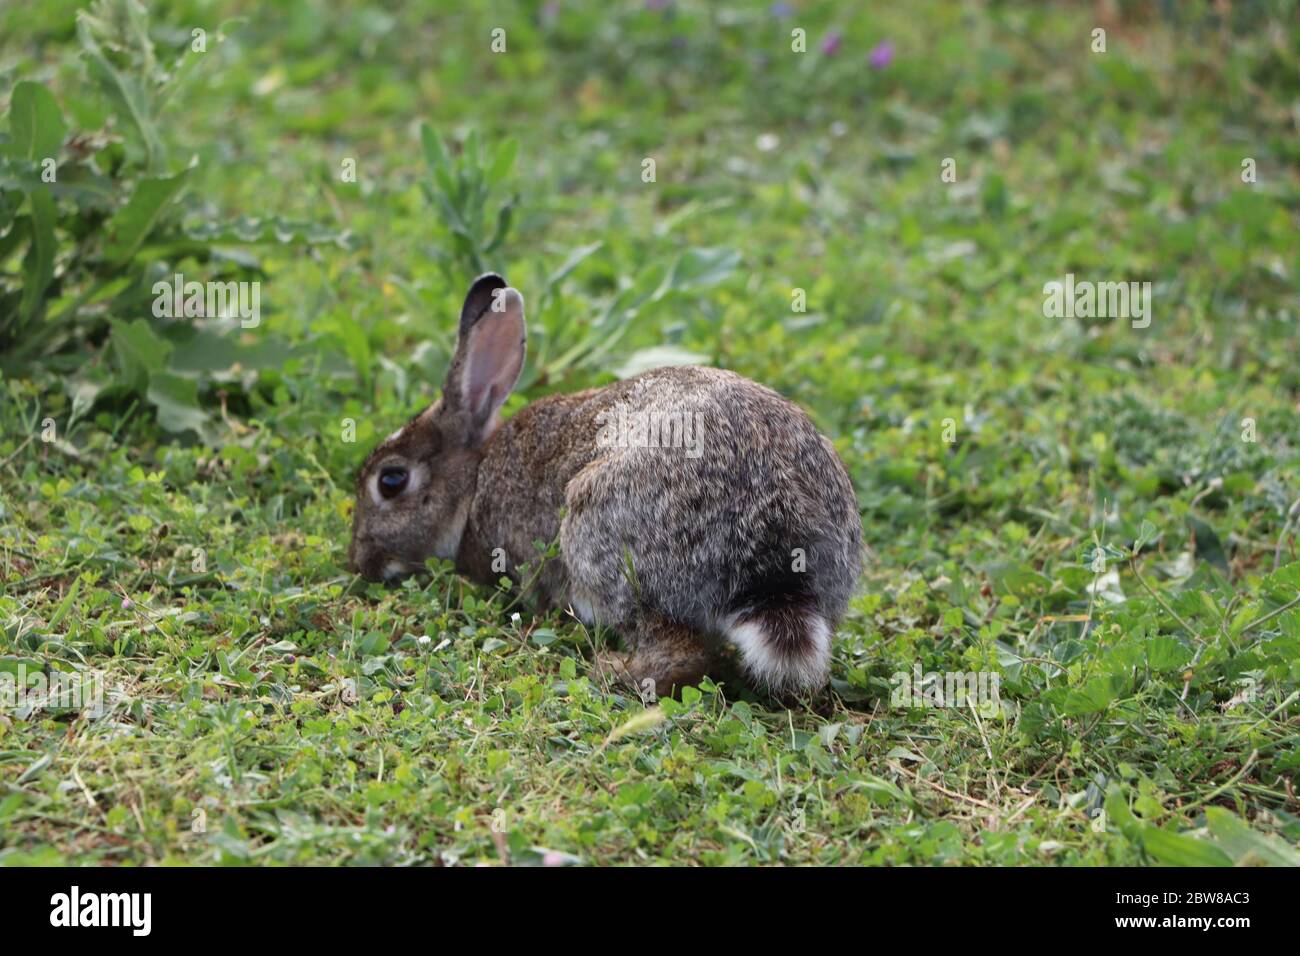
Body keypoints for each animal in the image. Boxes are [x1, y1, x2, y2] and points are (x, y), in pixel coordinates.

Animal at [348, 273, 863, 699]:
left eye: (390, 481)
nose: (359, 561)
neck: (471, 484)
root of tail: (775, 544)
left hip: (602, 545)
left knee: (679, 653)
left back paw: (610, 670)